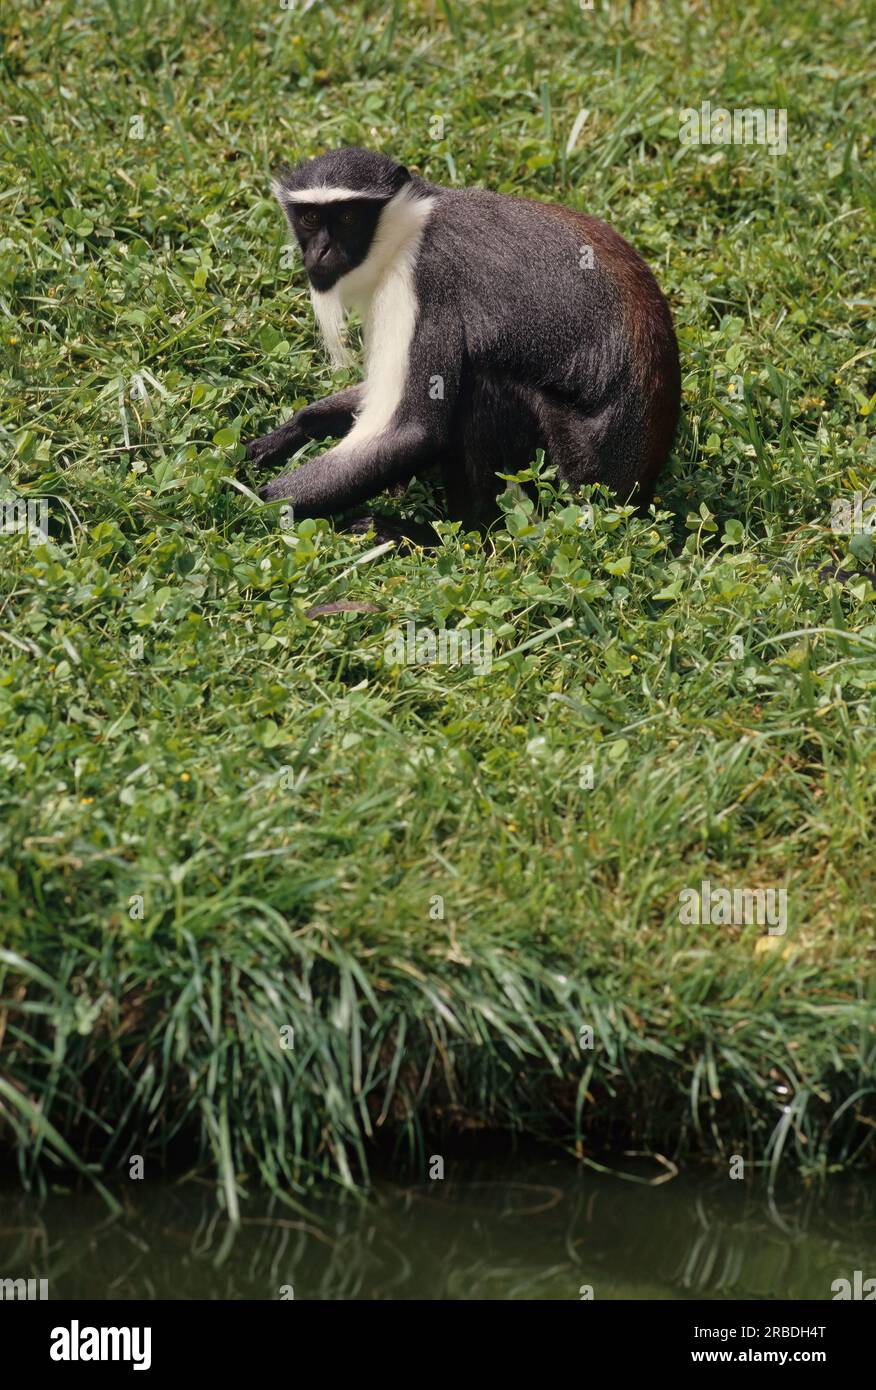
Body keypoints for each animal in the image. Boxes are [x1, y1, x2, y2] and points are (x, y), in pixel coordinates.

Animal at [244, 147, 680, 537]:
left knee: (478, 384)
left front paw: (244, 506)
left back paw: (455, 534)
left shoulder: (423, 283)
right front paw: (285, 435)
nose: (320, 250)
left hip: (573, 468)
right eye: (310, 217)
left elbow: (413, 431)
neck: (411, 225)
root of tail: (635, 491)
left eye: (349, 216)